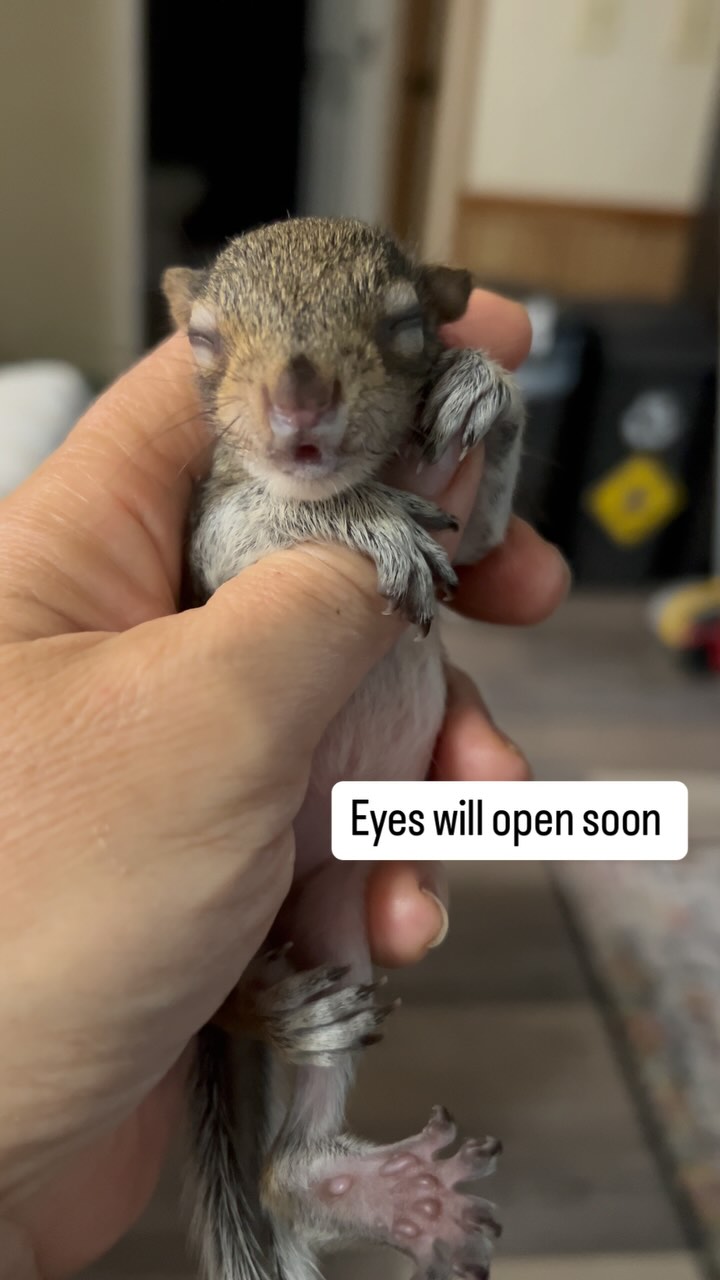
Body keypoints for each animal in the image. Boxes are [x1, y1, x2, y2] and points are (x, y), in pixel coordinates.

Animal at [162, 216, 525, 1280]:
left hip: (332, 918)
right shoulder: (209, 541)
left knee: (287, 1168)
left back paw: (381, 1194)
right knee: (225, 1006)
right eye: (203, 340)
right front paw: (364, 519)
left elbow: (487, 530)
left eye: (406, 324)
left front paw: (483, 384)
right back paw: (272, 1010)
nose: (297, 401)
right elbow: (269, 517)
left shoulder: (472, 538)